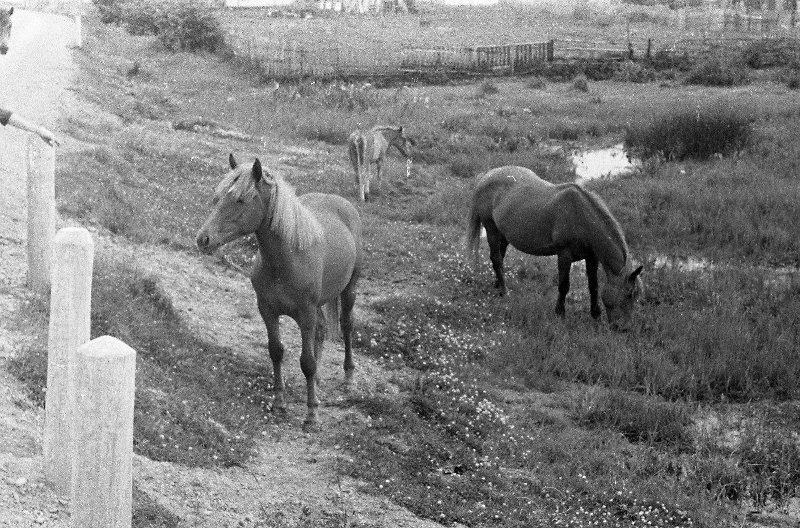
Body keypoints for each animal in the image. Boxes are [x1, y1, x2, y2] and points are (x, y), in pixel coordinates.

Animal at [196, 154, 363, 429]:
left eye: (240, 199)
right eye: (217, 197)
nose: (203, 239)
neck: (285, 262)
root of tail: (343, 205)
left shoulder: (305, 314)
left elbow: (306, 362)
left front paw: (311, 414)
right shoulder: (267, 310)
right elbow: (276, 352)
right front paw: (279, 403)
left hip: (349, 289)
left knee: (346, 325)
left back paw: (348, 377)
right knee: (321, 331)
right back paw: (318, 381)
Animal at [466, 166, 643, 330]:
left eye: (635, 296)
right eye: (629, 294)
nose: (624, 328)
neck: (582, 218)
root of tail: (486, 176)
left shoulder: (591, 257)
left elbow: (593, 287)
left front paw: (596, 316)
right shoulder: (564, 255)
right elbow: (564, 286)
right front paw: (560, 314)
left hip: (503, 235)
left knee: (500, 258)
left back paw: (497, 284)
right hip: (491, 230)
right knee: (496, 259)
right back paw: (504, 291)